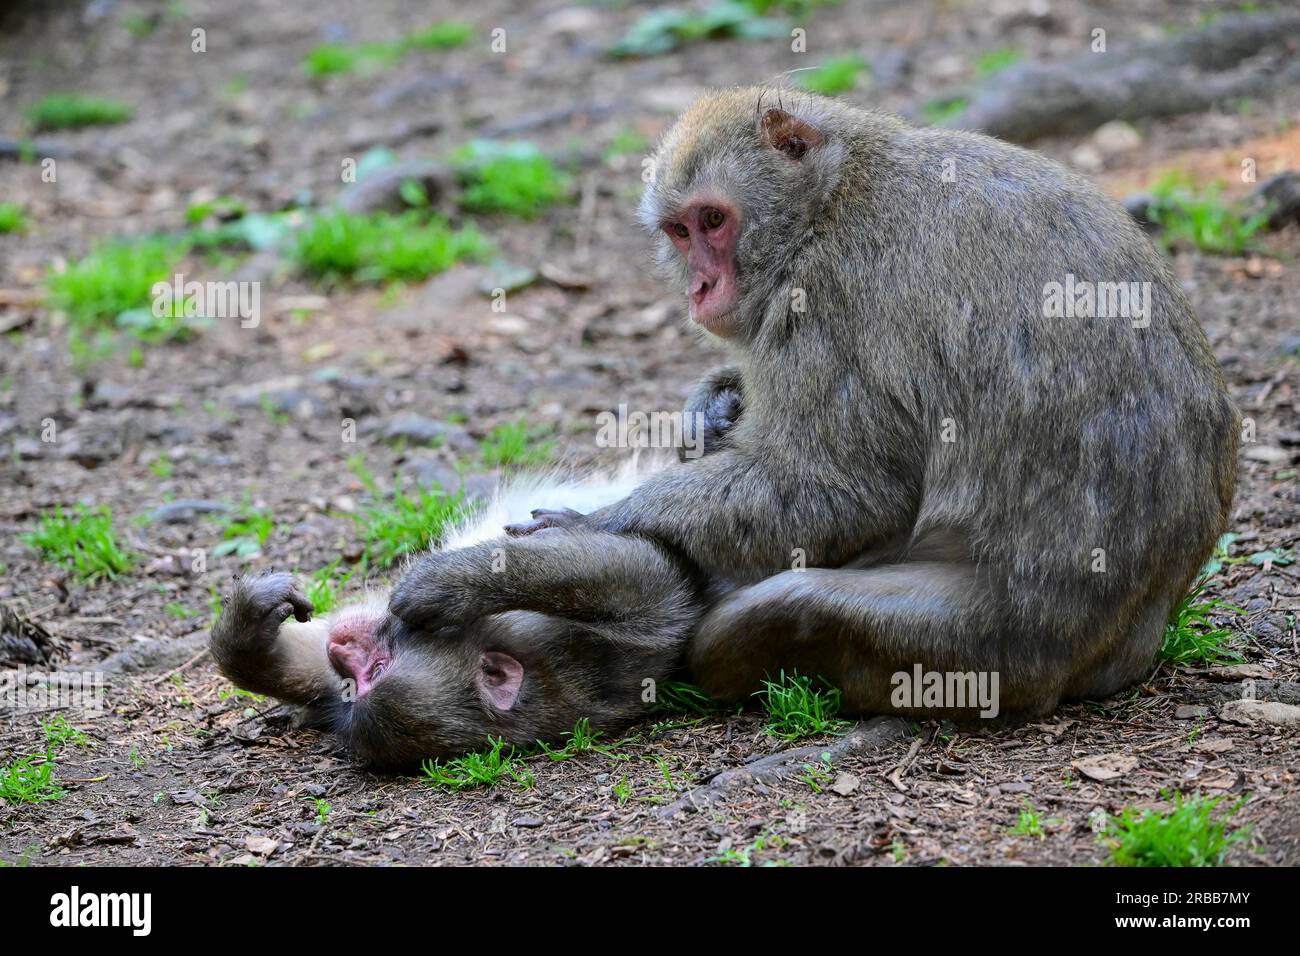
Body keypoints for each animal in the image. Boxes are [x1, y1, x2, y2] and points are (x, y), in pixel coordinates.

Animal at [392, 87, 1237, 717]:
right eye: (680, 231)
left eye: (713, 220)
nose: (701, 287)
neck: (832, 199)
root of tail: (1115, 654)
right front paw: (712, 406)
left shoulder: (828, 294)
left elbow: (846, 489)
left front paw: (592, 524)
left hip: (978, 652)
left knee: (777, 608)